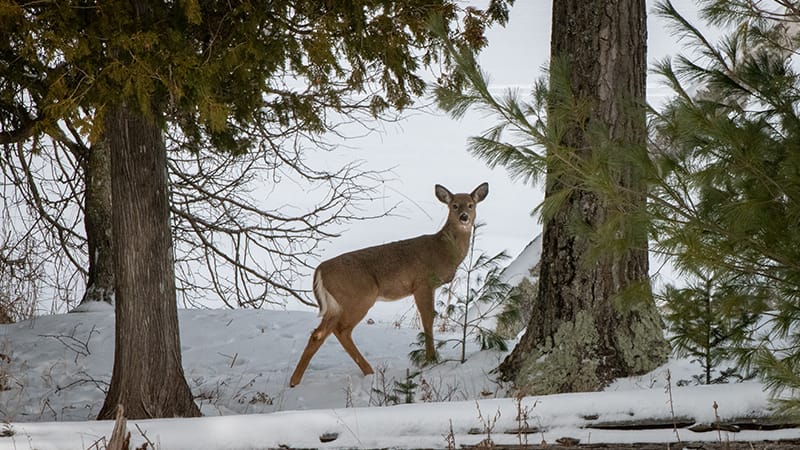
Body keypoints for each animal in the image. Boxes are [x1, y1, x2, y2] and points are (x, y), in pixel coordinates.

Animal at [289, 182, 489, 387]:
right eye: (454, 205)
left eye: (471, 204)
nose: (464, 217)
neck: (443, 251)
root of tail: (320, 269)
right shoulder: (422, 283)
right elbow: (428, 320)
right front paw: (431, 358)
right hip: (359, 297)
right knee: (341, 330)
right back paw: (368, 371)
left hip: (336, 304)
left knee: (318, 333)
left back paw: (294, 381)